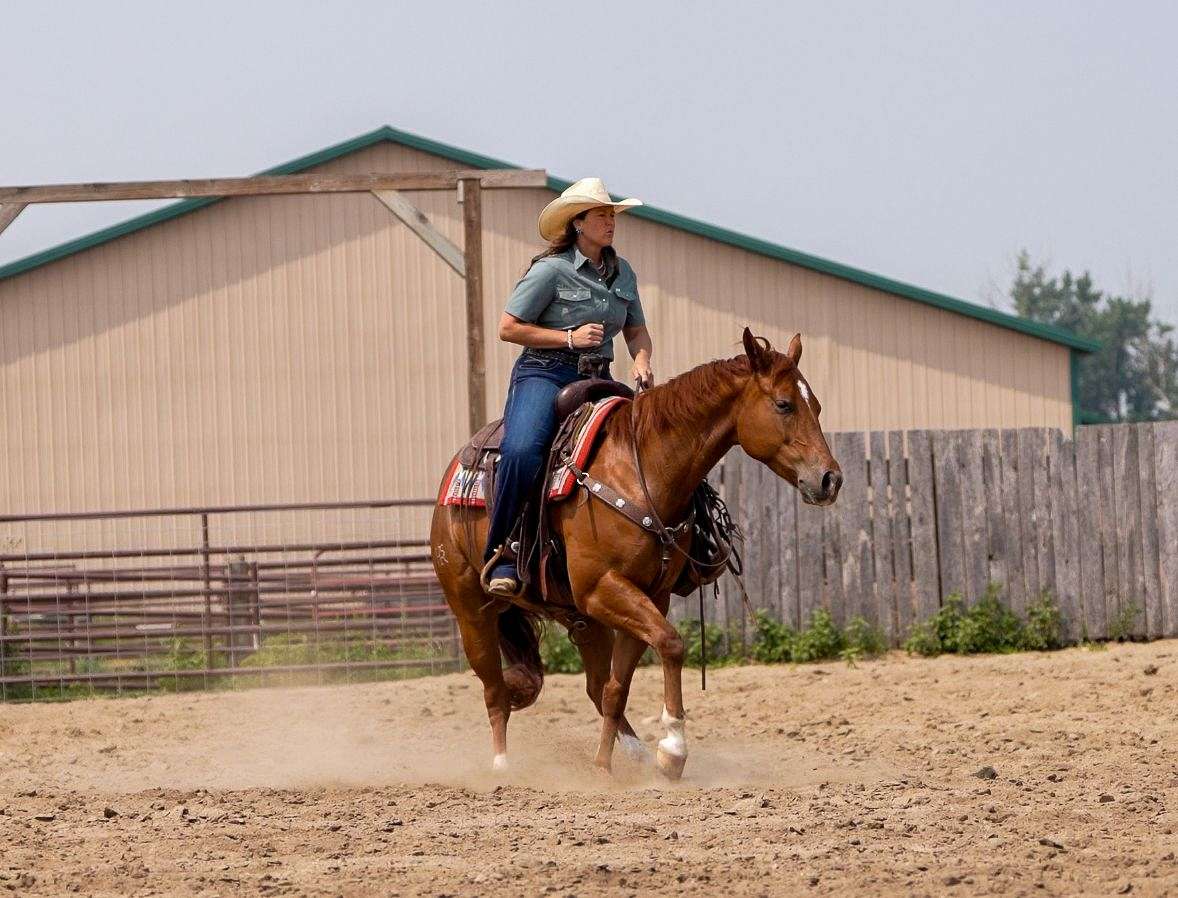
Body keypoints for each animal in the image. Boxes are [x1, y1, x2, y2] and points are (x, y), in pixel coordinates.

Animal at [429, 328, 842, 780]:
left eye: (817, 406)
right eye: (784, 404)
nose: (830, 479)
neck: (639, 468)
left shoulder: (646, 595)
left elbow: (618, 687)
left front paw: (607, 764)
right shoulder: (603, 588)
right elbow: (671, 643)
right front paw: (673, 749)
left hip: (581, 619)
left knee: (594, 686)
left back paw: (631, 753)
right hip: (472, 609)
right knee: (494, 689)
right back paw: (503, 765)